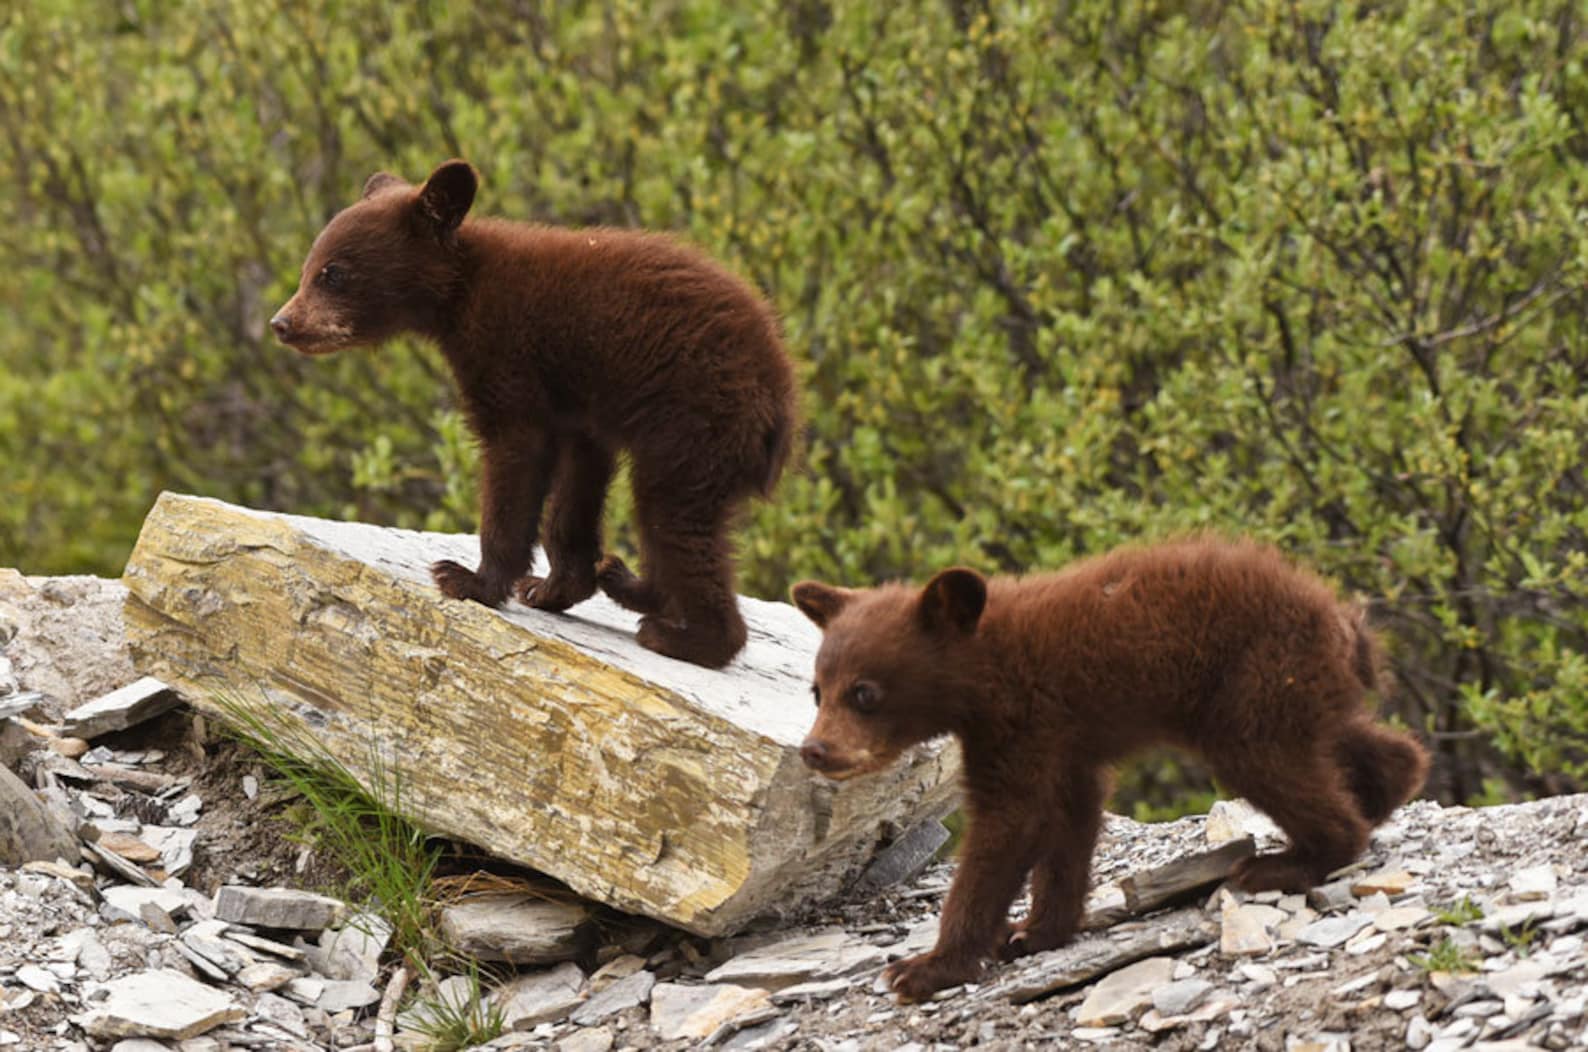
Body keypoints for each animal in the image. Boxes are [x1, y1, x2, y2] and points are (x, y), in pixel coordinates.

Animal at [271, 160, 799, 668]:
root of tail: (783, 403)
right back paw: (626, 581)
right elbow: (576, 487)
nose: (282, 322)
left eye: (333, 273)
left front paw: (470, 580)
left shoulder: (509, 353)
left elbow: (514, 456)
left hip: (696, 424)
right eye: (308, 267)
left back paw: (685, 637)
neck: (461, 292)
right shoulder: (578, 404)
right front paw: (553, 587)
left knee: (672, 518)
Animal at [790, 536, 1430, 1001]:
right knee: (1343, 736)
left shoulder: (1026, 720)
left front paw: (925, 967)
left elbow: (1011, 822)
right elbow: (1068, 823)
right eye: (817, 689)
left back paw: (1288, 861)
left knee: (1269, 761)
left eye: (865, 692)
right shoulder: (1066, 741)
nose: (815, 749)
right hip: (1290, 684)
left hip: (1251, 679)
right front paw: (1036, 930)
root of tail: (1343, 620)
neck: (986, 671)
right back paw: (1386, 785)